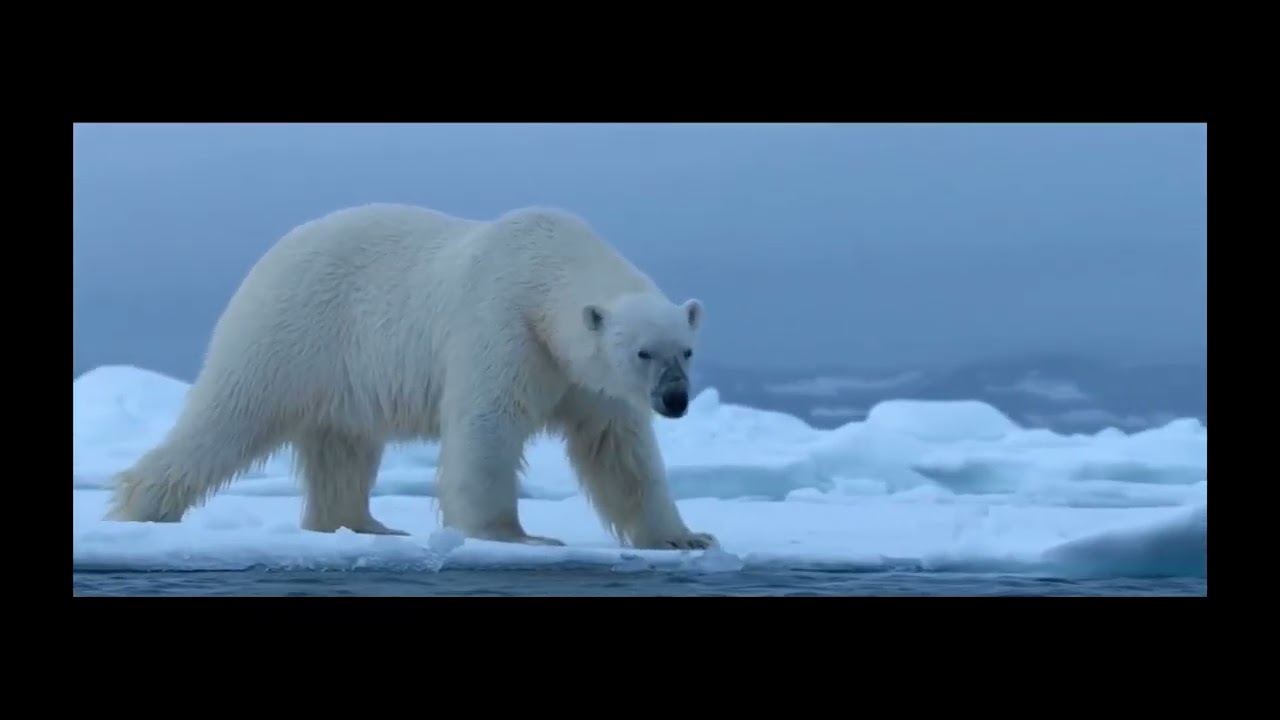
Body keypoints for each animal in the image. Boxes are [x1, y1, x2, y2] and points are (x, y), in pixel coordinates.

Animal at [104, 203, 717, 550]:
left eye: (685, 352)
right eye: (643, 352)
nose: (676, 400)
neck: (544, 267)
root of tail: (271, 255)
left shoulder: (586, 380)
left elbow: (621, 453)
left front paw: (688, 537)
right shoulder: (502, 326)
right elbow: (487, 426)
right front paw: (515, 534)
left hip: (341, 373)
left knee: (344, 448)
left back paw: (363, 525)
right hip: (291, 332)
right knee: (230, 415)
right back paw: (142, 506)